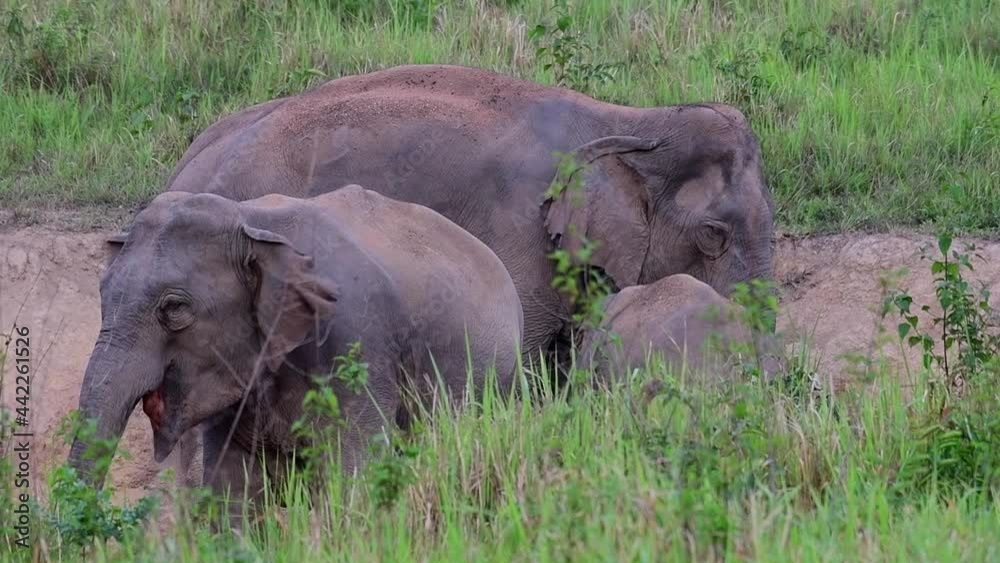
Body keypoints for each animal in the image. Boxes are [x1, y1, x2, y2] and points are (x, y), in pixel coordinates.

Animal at [68, 186, 523, 508]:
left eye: (174, 308)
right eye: (102, 292)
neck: (251, 220)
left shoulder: (355, 340)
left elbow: (355, 467)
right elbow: (231, 486)